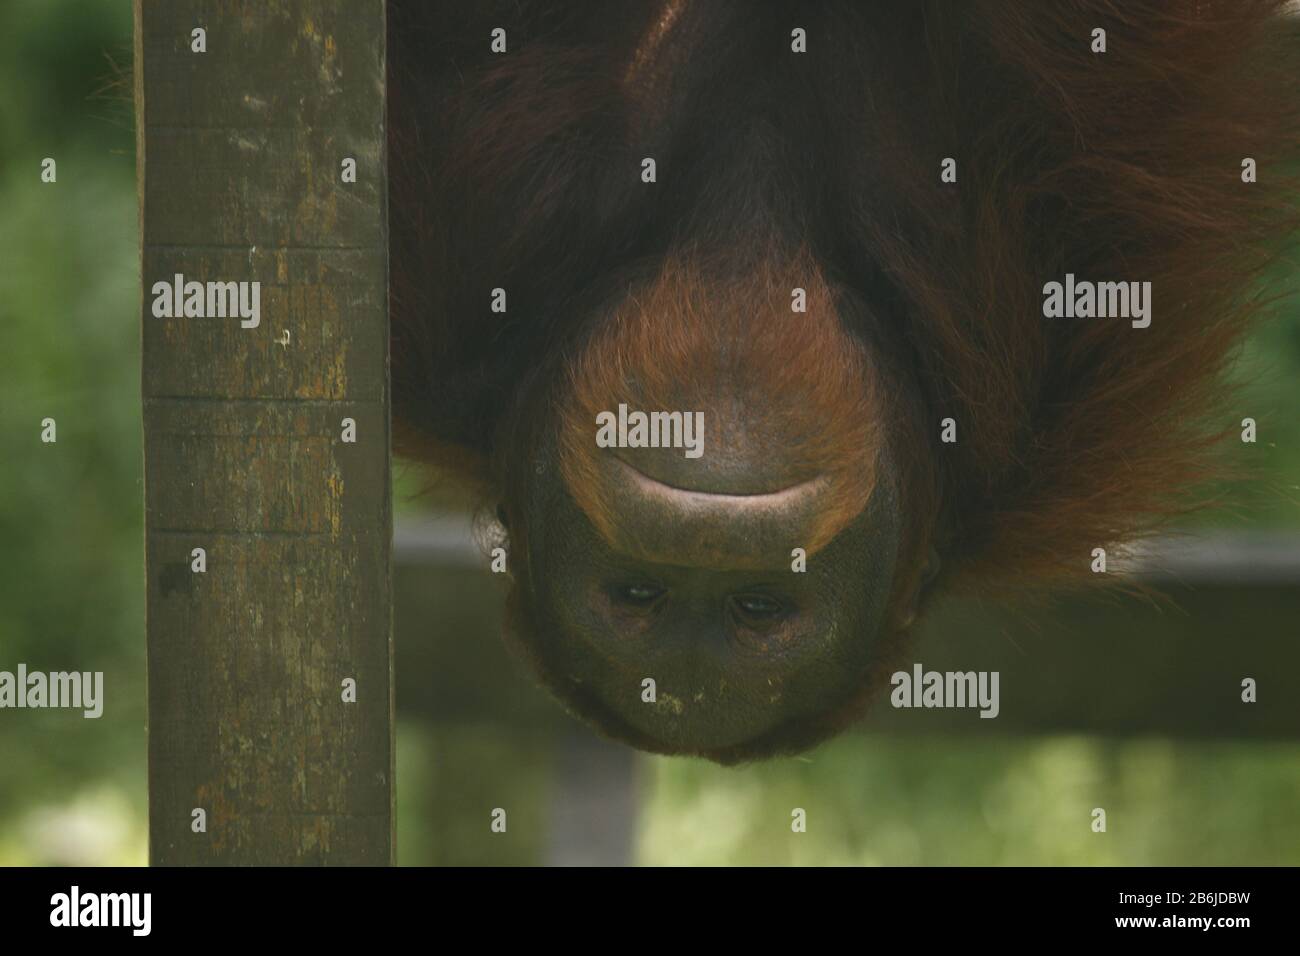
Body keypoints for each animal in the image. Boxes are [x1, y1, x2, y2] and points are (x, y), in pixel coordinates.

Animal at [386, 1, 1300, 763]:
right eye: (641, 594)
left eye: (757, 608)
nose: (707, 524)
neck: (745, 240)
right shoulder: (447, 305)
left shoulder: (1047, 384)